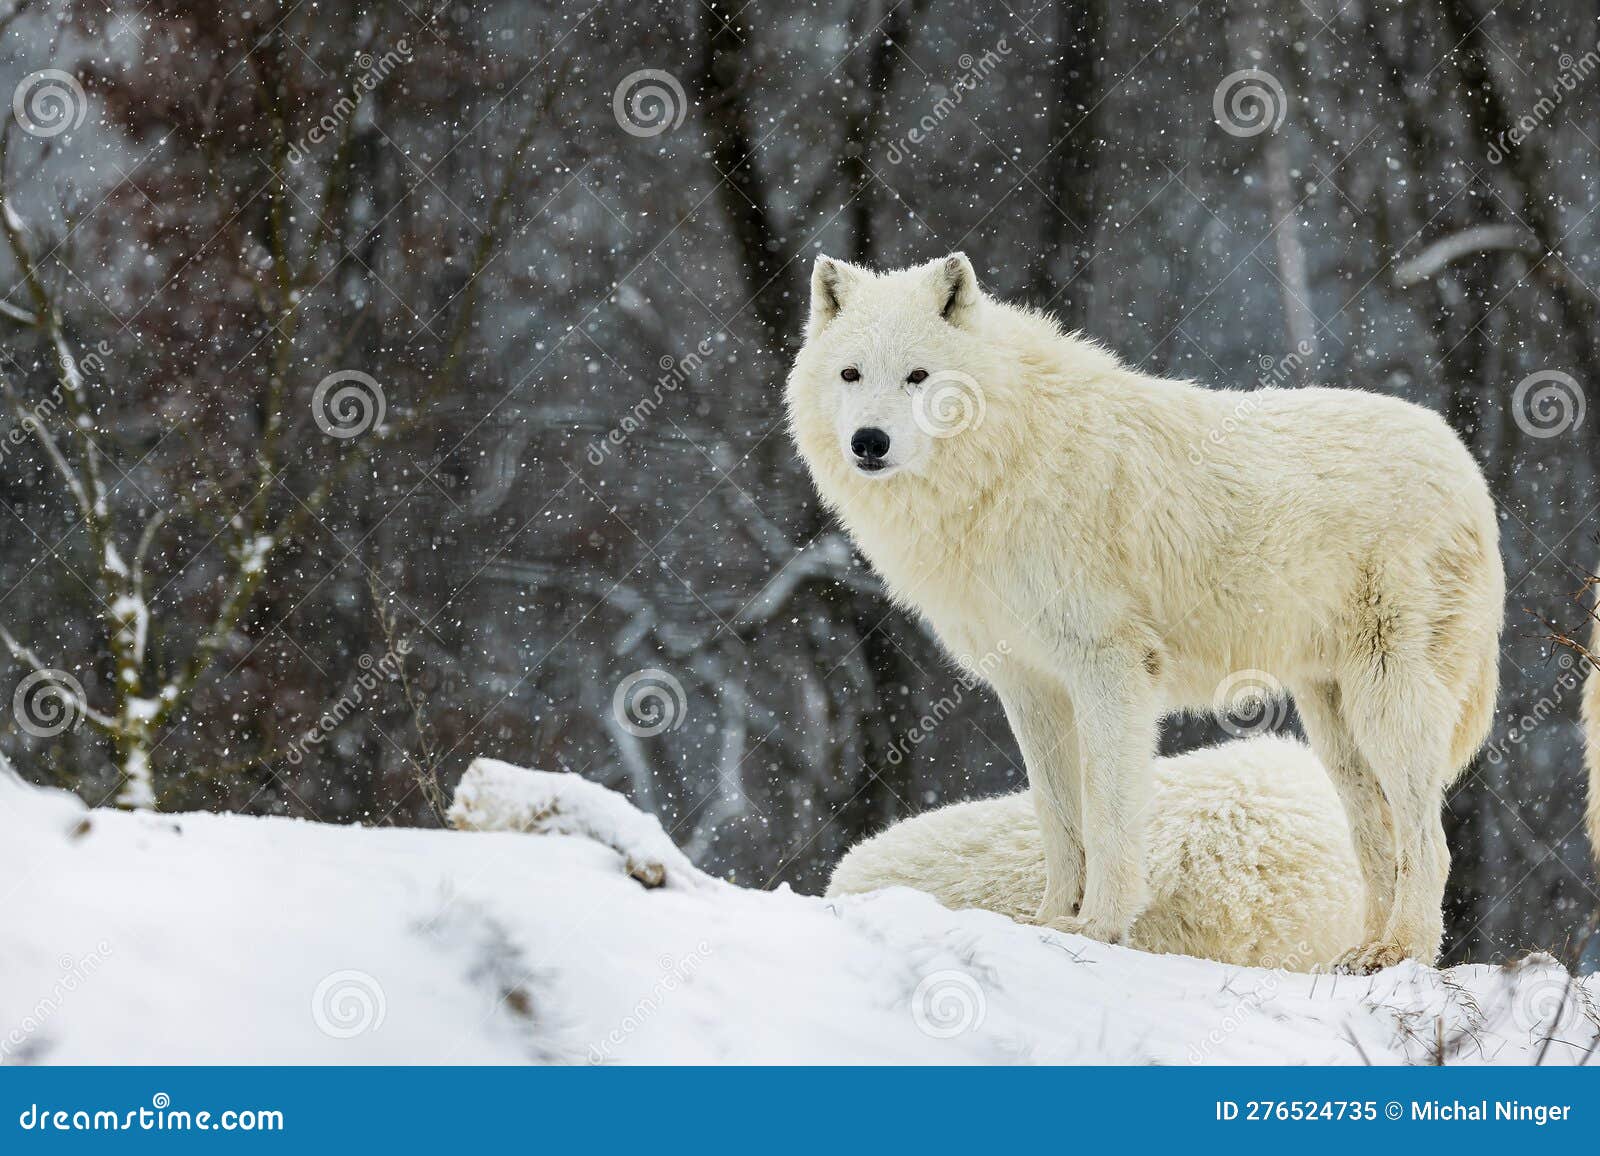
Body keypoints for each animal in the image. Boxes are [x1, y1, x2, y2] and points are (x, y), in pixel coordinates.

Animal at [786, 252, 1504, 973]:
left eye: (918, 376)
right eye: (850, 373)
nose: (869, 442)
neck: (1010, 460)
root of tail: (1466, 465)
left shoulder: (1112, 667)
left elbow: (1107, 813)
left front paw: (1099, 927)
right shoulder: (1031, 684)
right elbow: (1057, 818)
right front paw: (1048, 921)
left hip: (1388, 704)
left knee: (1429, 843)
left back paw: (1401, 951)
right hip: (1333, 723)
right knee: (1376, 838)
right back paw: (1362, 952)